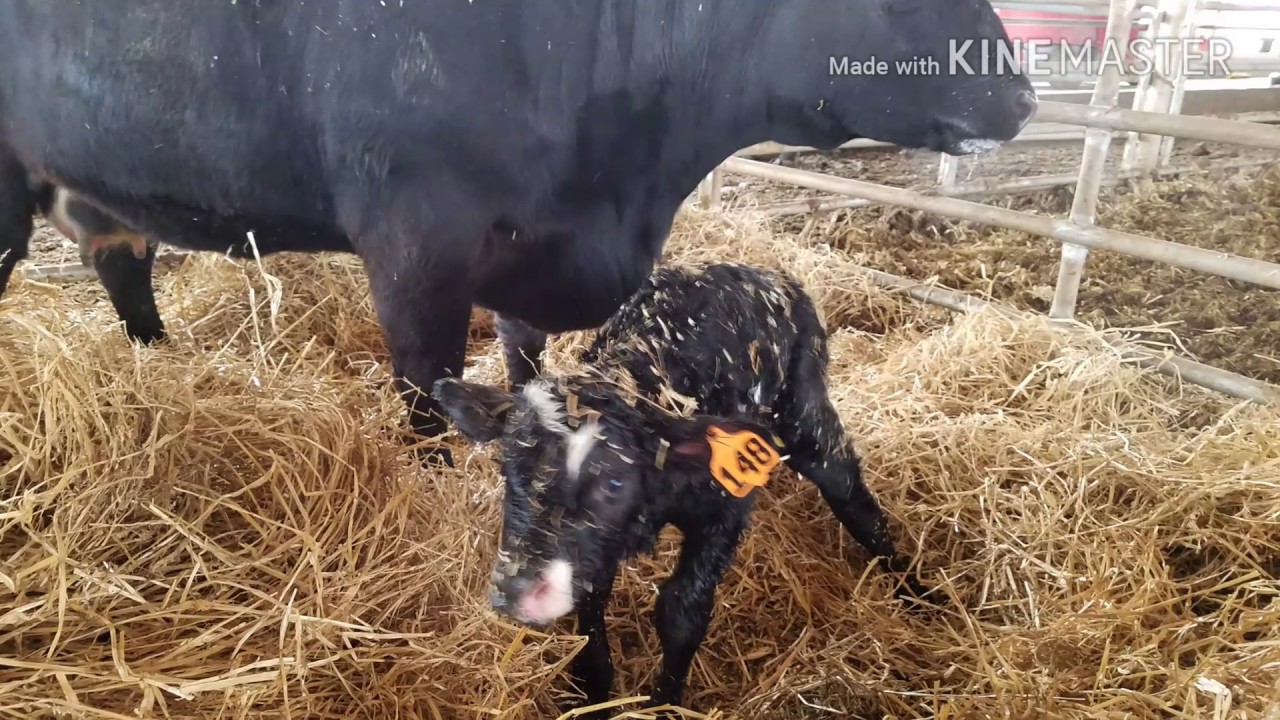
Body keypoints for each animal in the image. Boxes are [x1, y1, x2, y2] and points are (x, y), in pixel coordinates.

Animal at [0, 0, 1037, 467]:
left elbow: (524, 361)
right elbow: (425, 388)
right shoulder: (416, 253)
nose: (1024, 96)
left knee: (123, 269)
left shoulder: (527, 253)